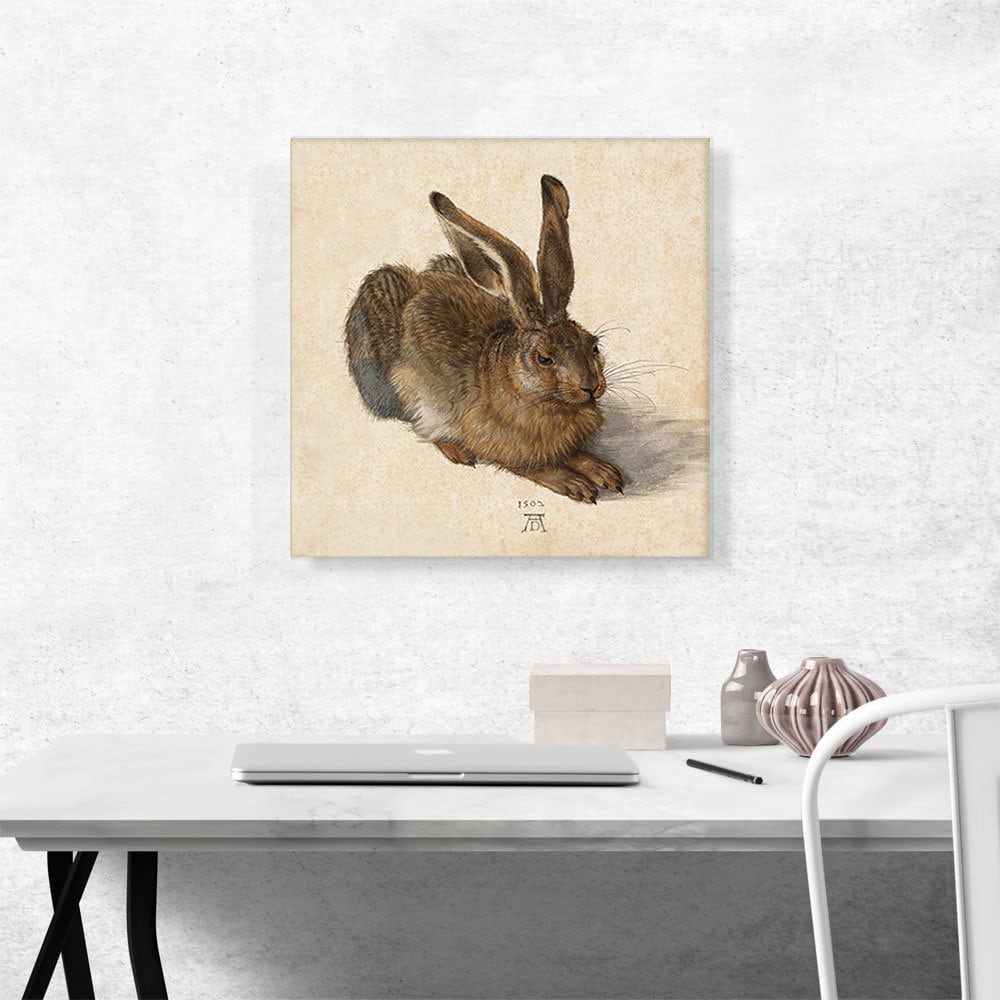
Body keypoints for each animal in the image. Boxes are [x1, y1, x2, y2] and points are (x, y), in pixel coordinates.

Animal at [344, 174, 625, 503]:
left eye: (594, 345)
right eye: (544, 358)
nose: (590, 387)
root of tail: (421, 281)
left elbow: (574, 454)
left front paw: (604, 472)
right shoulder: (498, 442)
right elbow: (535, 466)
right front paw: (575, 483)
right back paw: (455, 450)